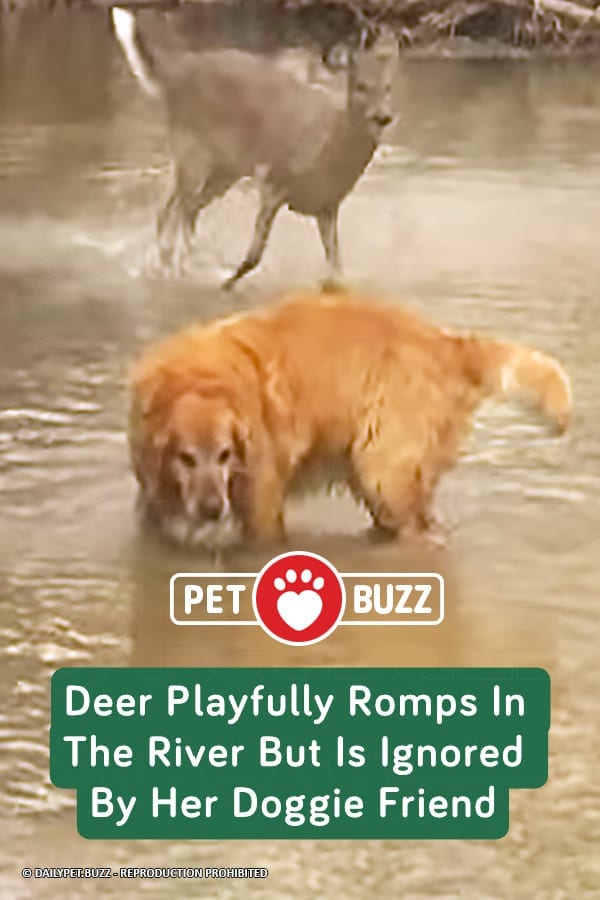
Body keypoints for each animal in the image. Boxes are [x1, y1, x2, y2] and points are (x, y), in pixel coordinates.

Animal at [112, 8, 396, 289]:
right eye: (360, 86)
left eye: (388, 87)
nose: (382, 116)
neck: (331, 149)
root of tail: (178, 71)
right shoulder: (273, 181)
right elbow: (255, 254)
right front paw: (227, 282)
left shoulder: (327, 207)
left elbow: (336, 267)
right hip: (193, 153)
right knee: (173, 209)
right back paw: (168, 266)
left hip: (225, 169)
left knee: (185, 209)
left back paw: (179, 262)